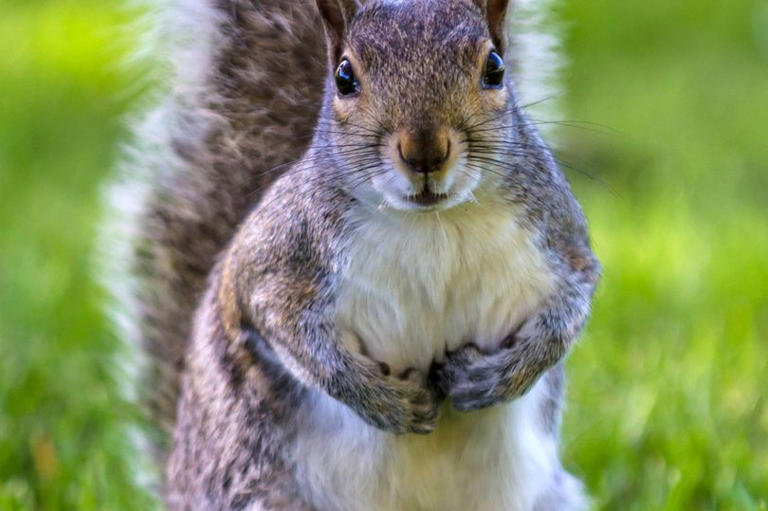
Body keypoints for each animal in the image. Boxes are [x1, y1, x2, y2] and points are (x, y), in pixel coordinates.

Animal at [106, 0, 600, 509]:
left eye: (495, 69)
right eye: (344, 78)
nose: (424, 151)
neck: (433, 224)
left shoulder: (561, 244)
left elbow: (566, 316)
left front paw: (497, 377)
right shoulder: (274, 261)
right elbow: (297, 340)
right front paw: (385, 402)